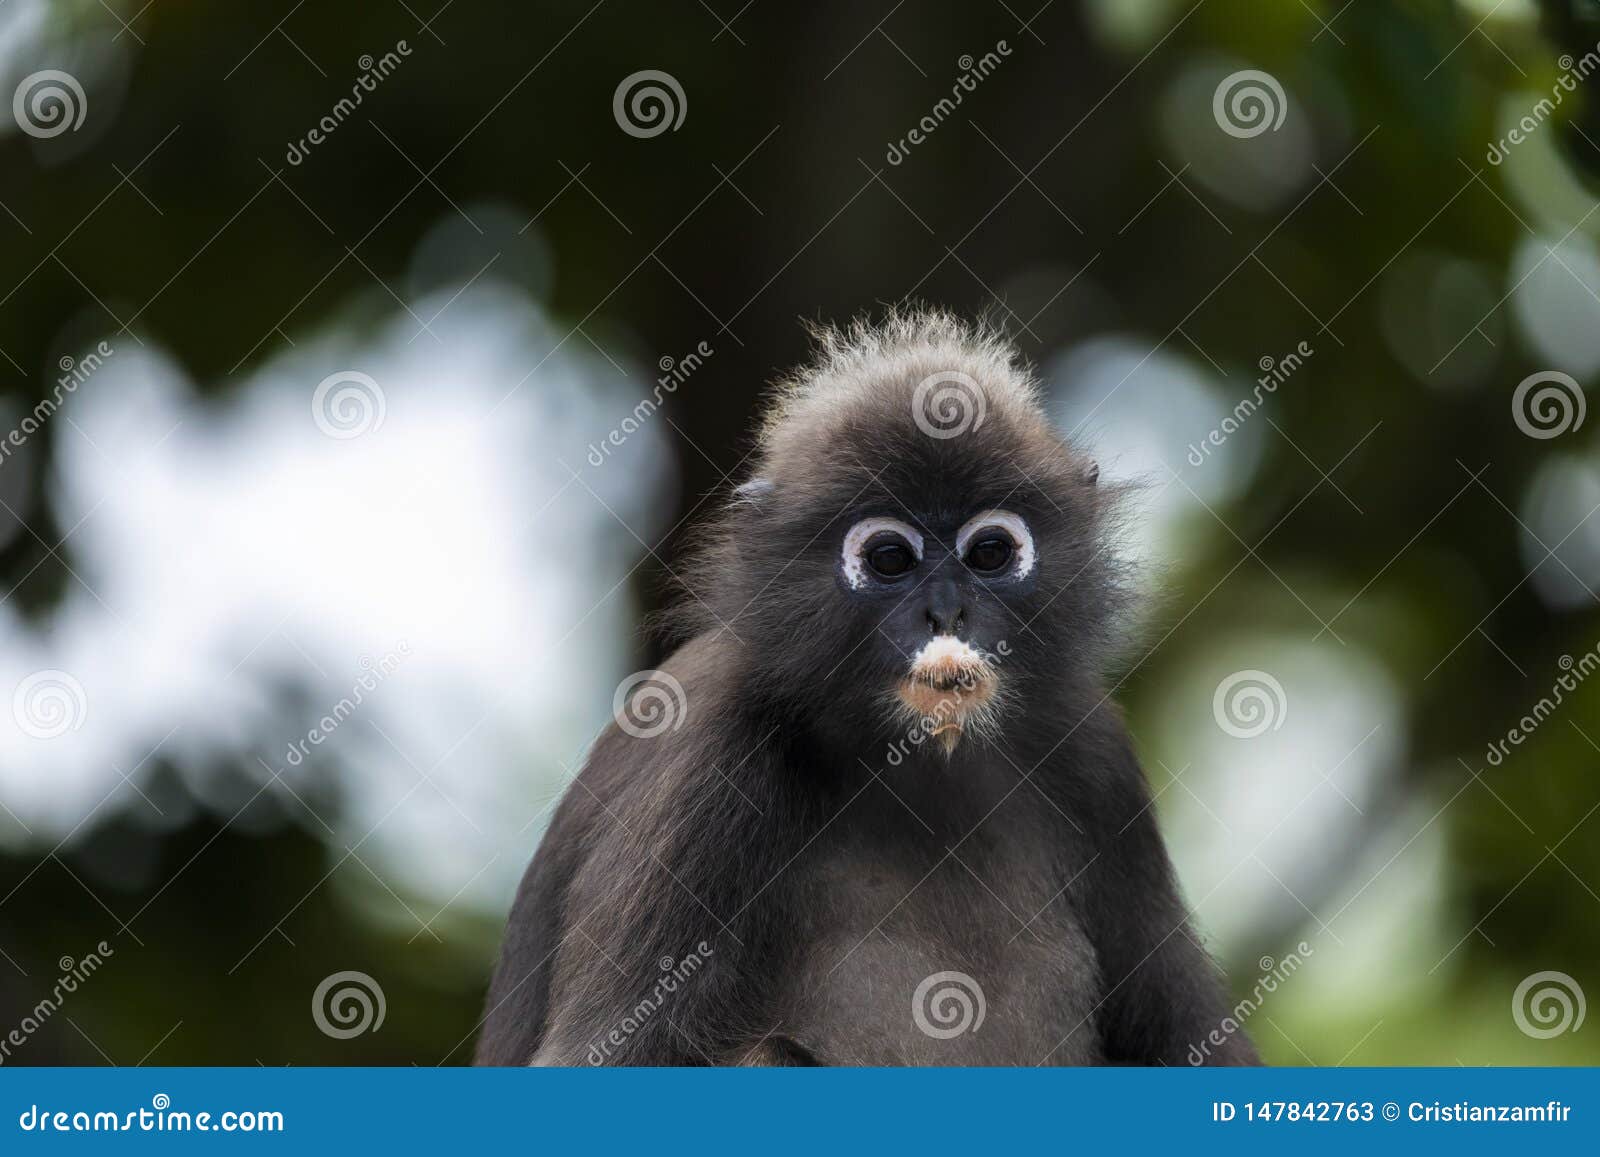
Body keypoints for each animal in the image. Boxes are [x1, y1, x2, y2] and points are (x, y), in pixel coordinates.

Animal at [475, 312, 1259, 1066]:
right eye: (888, 558)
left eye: (991, 552)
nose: (946, 613)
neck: (912, 759)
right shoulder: (702, 758)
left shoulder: (1095, 752)